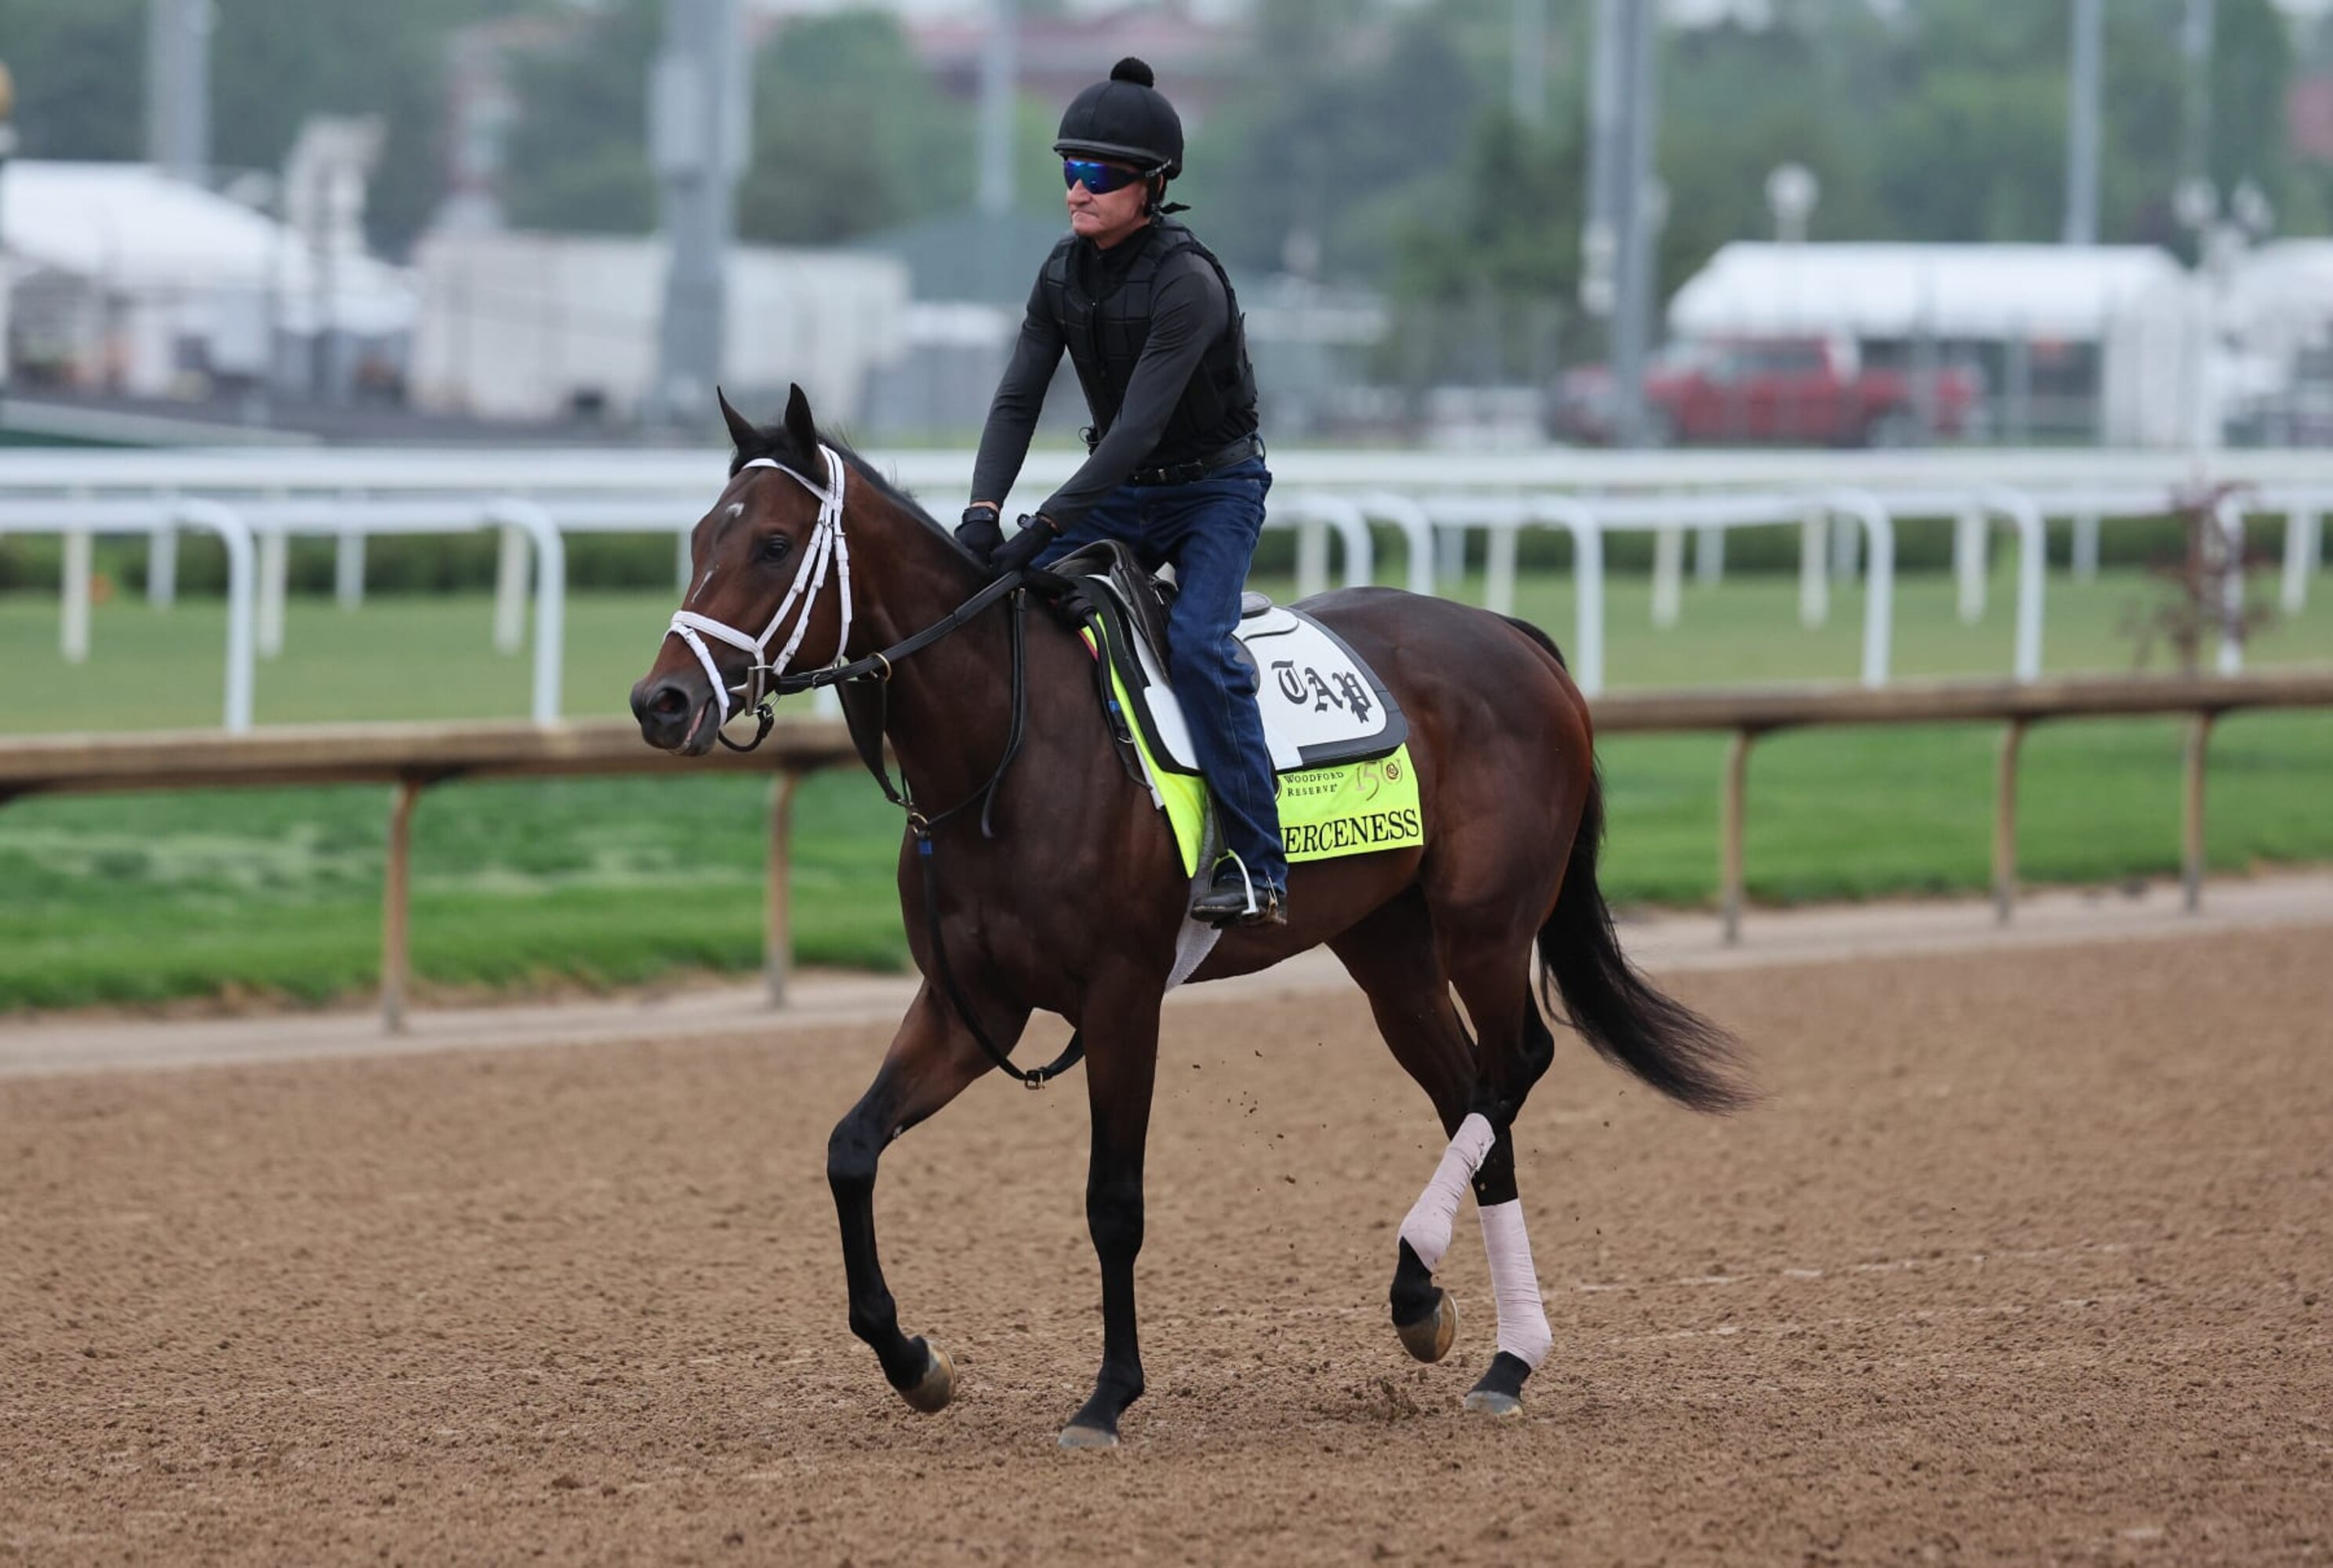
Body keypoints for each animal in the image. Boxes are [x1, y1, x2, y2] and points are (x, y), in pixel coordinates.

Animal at [631, 386, 1747, 1449]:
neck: (1006, 750)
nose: (661, 701)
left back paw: (1435, 1288)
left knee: (1515, 1063)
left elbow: (1112, 1202)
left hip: (1486, 921)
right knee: (1474, 1093)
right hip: (1387, 947)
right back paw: (1485, 1342)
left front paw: (1107, 1394)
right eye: (698, 538)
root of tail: (1516, 637)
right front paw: (913, 1361)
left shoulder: (1122, 997)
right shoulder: (965, 1005)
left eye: (773, 543)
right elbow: (850, 1148)